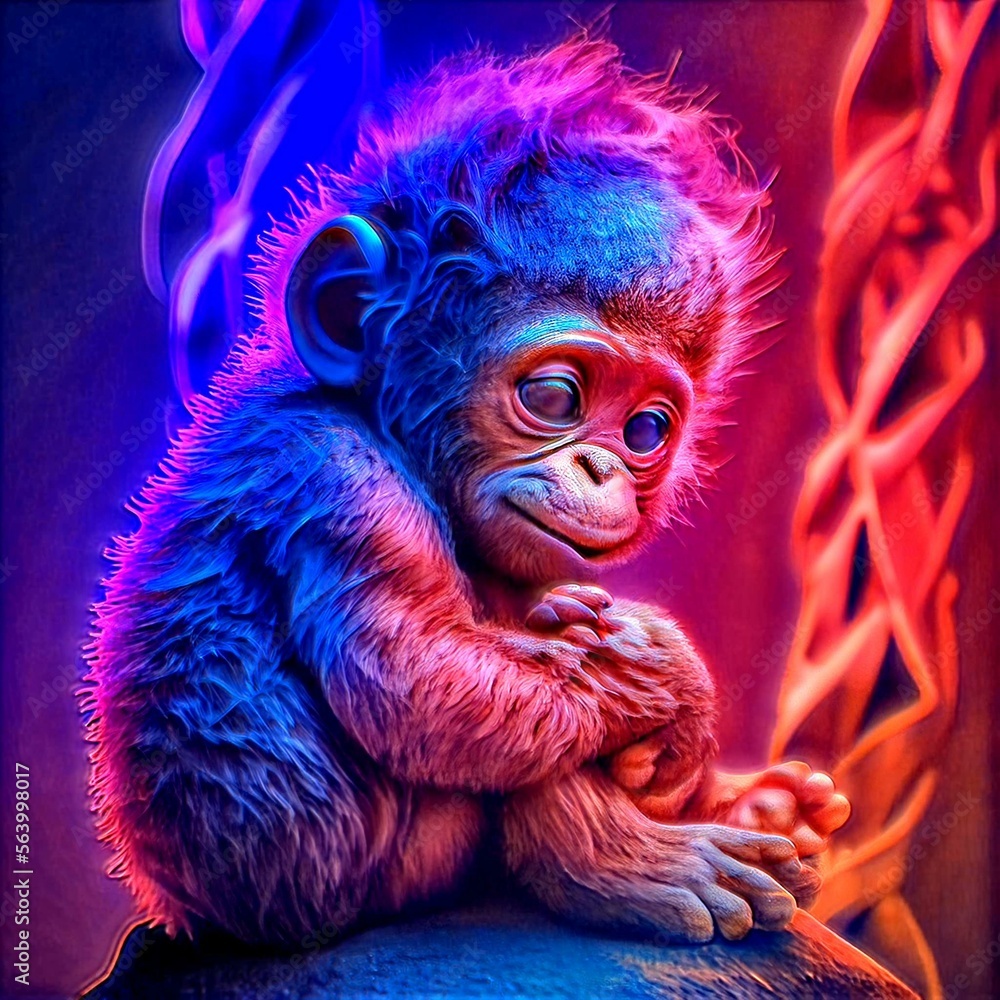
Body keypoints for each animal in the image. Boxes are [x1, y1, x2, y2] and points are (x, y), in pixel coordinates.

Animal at [82, 38, 849, 949]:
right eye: (554, 396)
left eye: (645, 431)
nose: (603, 470)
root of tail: (188, 916)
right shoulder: (341, 477)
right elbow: (418, 678)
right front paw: (665, 677)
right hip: (340, 886)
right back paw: (641, 866)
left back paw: (766, 813)